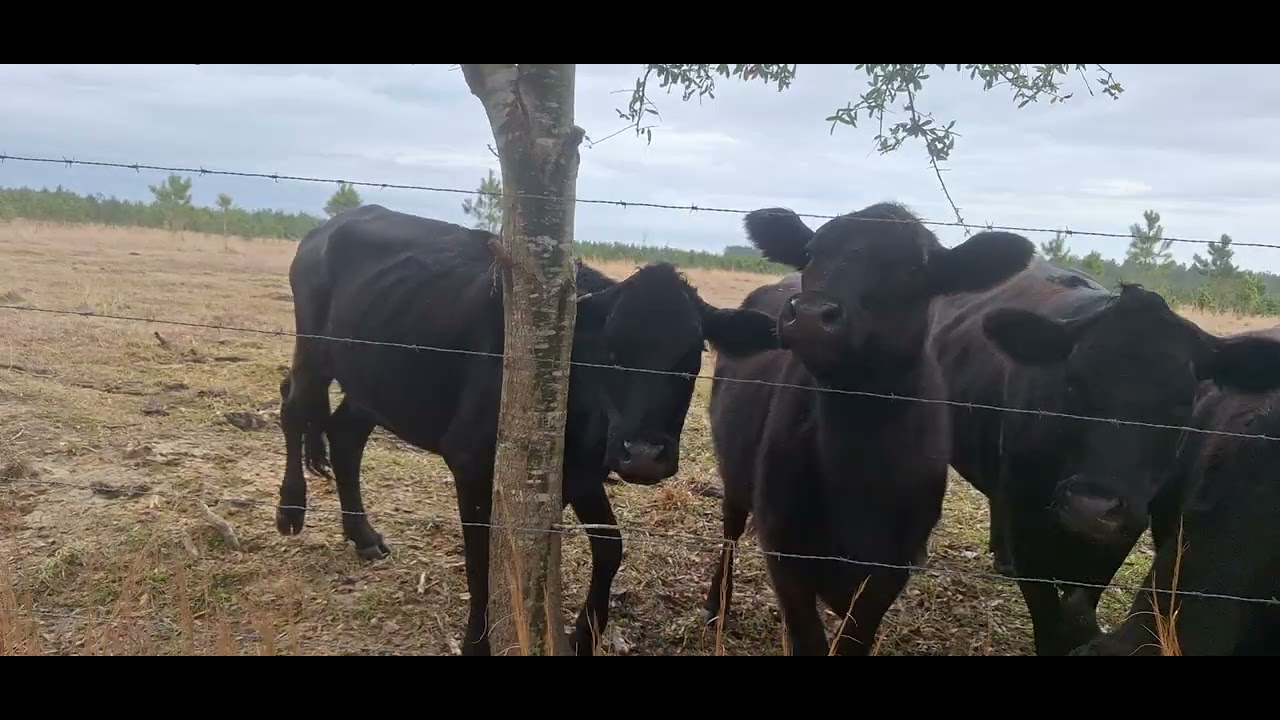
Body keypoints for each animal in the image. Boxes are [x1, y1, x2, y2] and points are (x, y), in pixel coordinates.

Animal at [274, 204, 780, 656]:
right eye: (611, 352)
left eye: (691, 356)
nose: (642, 455)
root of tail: (327, 227)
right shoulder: (472, 460)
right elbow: (482, 557)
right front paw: (476, 644)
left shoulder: (581, 470)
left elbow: (610, 546)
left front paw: (585, 635)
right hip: (313, 352)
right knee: (293, 405)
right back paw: (291, 510)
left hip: (373, 381)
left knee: (345, 434)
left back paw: (363, 536)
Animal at [700, 202, 1037, 655]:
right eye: (811, 252)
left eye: (913, 268)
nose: (810, 315)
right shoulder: (783, 544)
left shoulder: (894, 561)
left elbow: (854, 637)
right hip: (735, 475)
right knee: (730, 532)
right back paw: (716, 604)